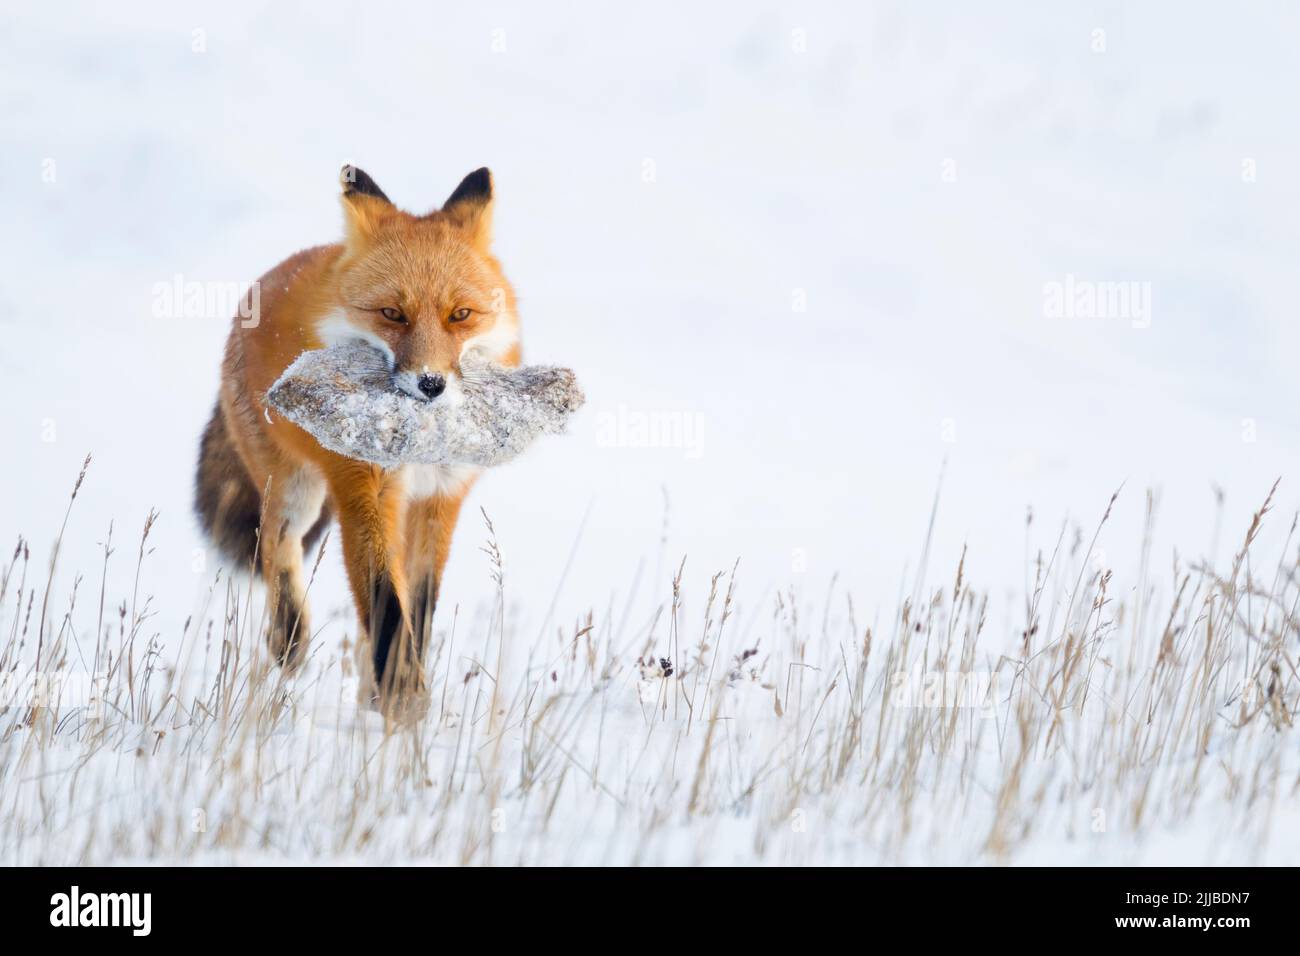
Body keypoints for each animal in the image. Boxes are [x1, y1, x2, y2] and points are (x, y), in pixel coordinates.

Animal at [194, 165, 520, 717]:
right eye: (392, 314)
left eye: (460, 315)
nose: (431, 384)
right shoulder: (363, 487)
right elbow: (384, 599)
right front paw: (403, 696)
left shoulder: (440, 495)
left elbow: (419, 601)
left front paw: (392, 689)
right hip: (297, 491)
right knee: (276, 548)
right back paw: (289, 642)